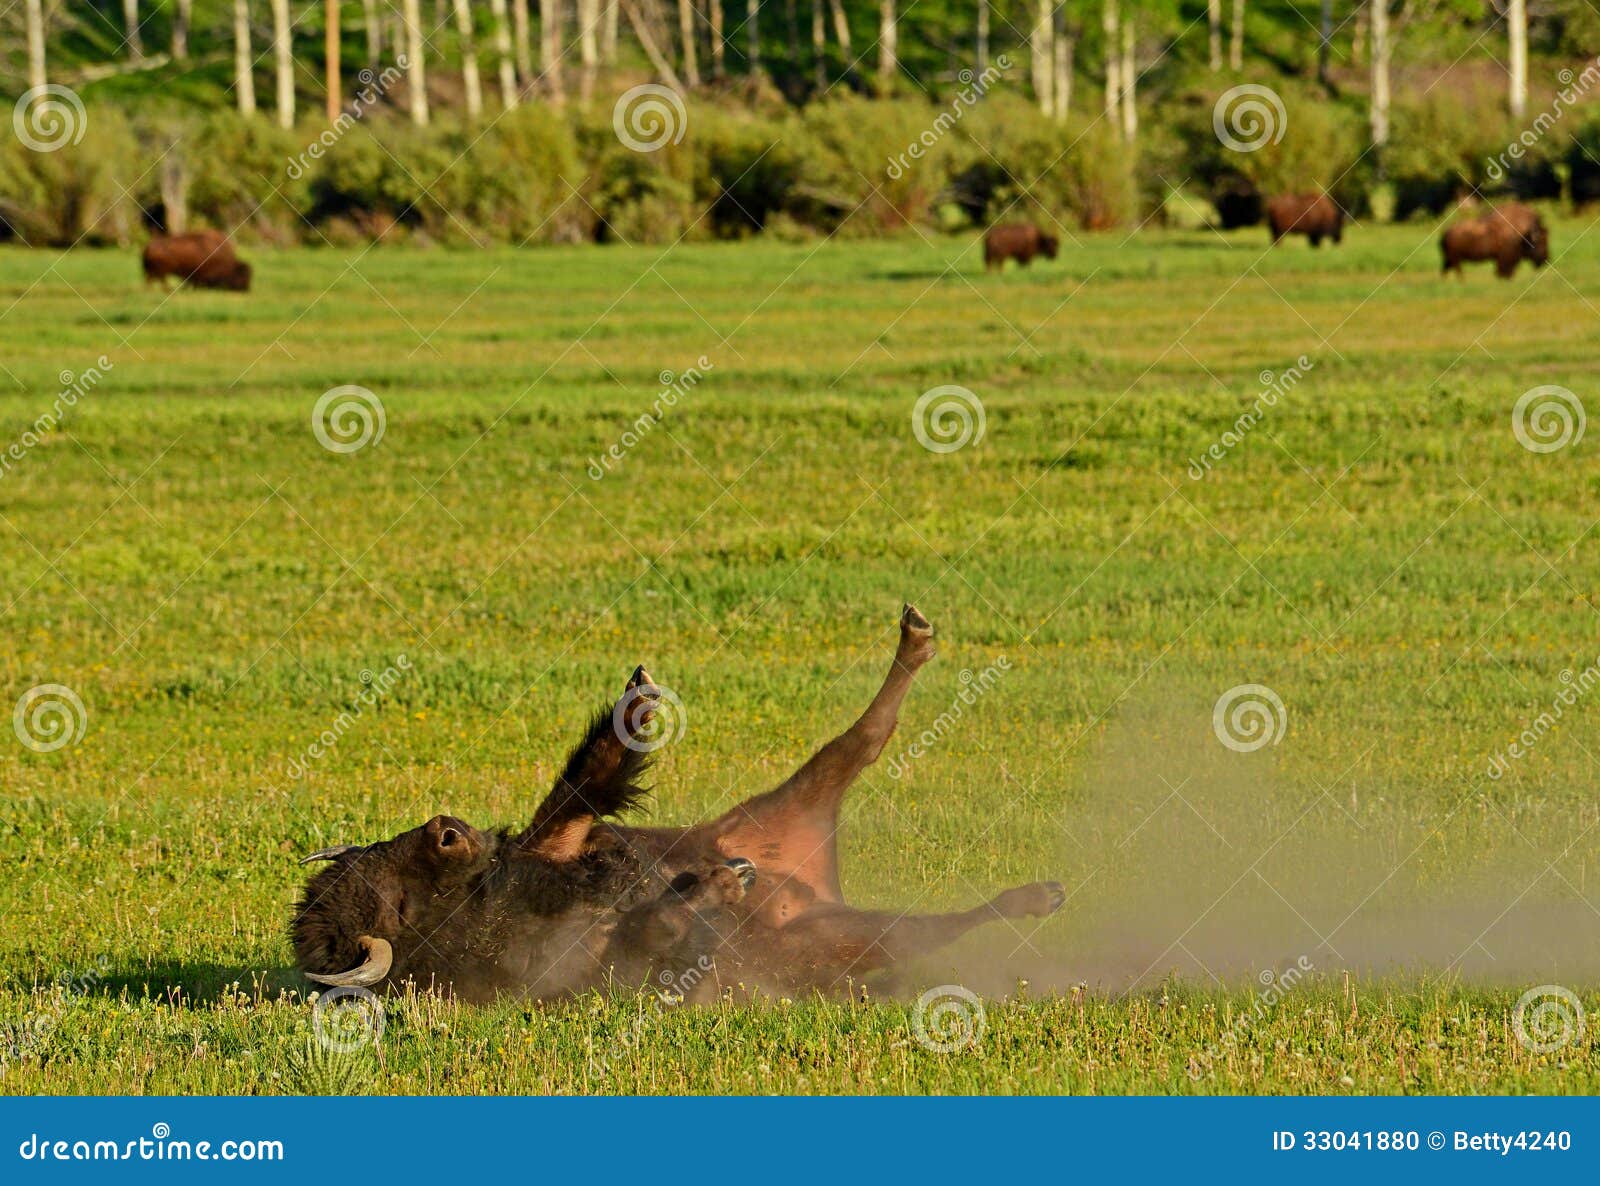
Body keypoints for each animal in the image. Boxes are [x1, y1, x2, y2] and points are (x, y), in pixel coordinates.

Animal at [293, 606, 1065, 1001]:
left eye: (379, 855)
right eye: (397, 905)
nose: (446, 830)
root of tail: (811, 886)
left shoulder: (559, 839)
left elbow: (582, 786)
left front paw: (639, 696)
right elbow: (655, 928)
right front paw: (716, 886)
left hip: (767, 809)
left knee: (862, 740)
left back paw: (916, 636)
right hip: (839, 937)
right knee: (935, 921)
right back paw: (1041, 898)